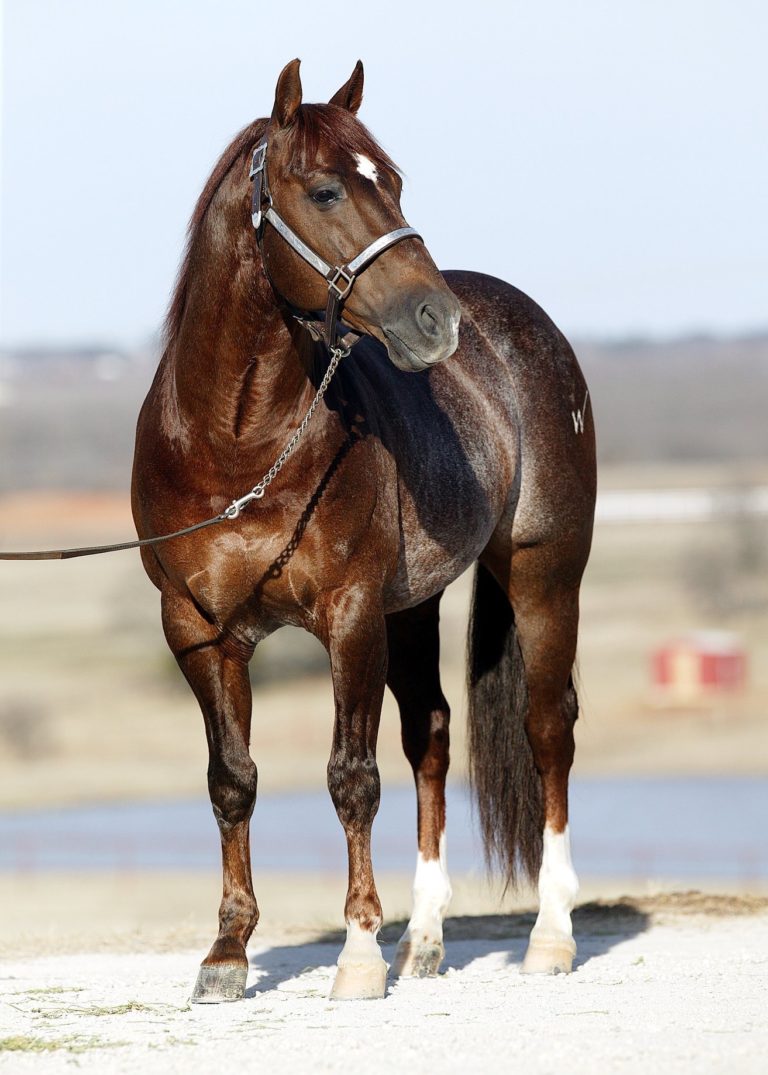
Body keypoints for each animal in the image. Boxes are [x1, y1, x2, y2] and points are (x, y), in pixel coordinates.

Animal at [131, 58, 596, 1002]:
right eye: (326, 189)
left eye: (397, 182)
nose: (435, 321)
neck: (235, 445)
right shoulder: (198, 630)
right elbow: (231, 780)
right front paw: (226, 955)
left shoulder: (347, 617)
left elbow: (351, 778)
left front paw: (354, 953)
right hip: (411, 607)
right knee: (434, 736)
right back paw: (423, 942)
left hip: (543, 574)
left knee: (547, 728)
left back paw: (551, 935)